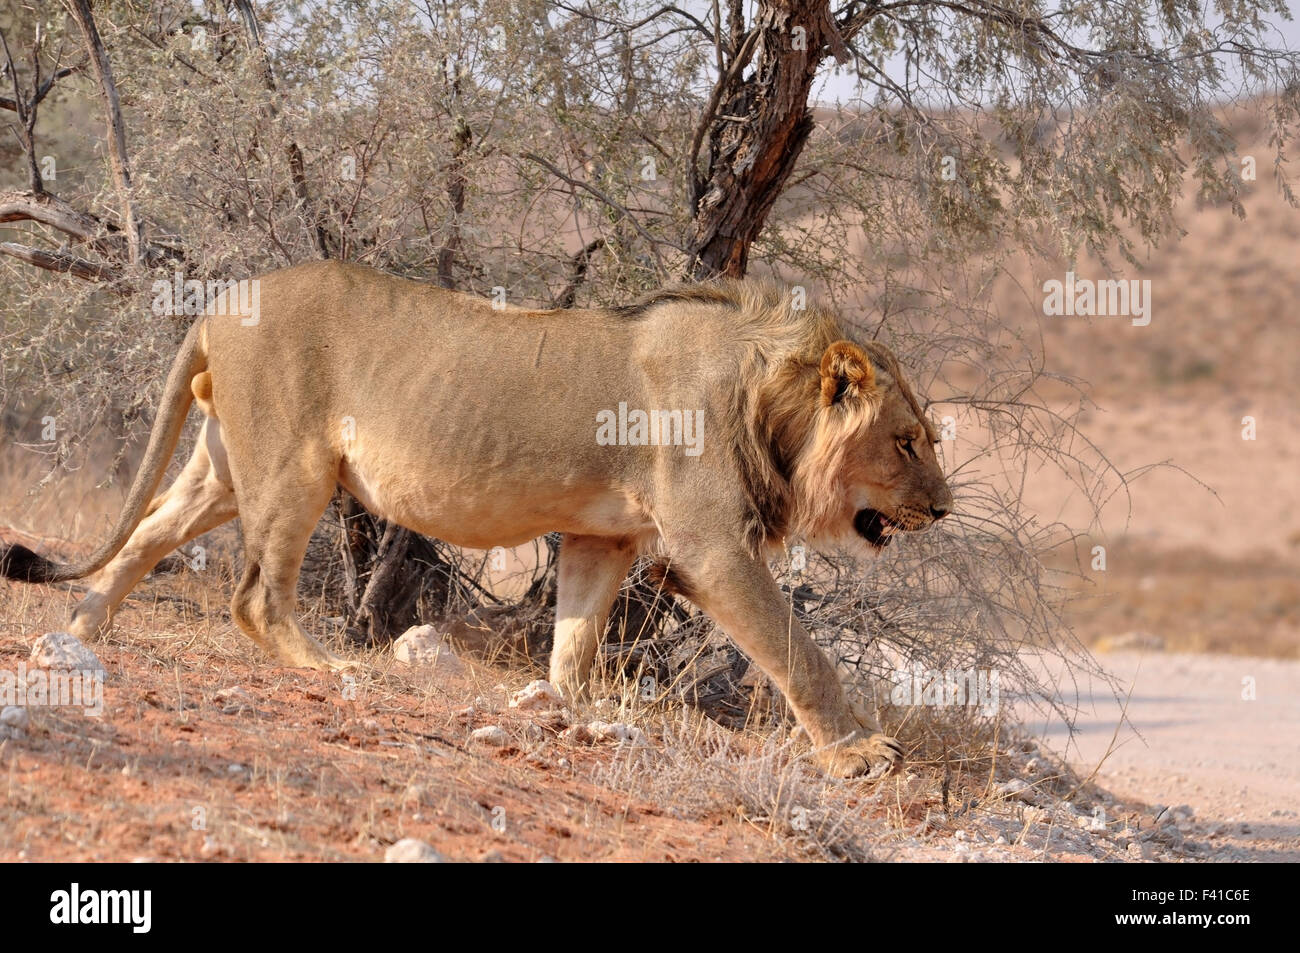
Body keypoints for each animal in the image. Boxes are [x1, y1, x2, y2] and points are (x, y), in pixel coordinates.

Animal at [1, 261, 953, 778]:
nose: (942, 508)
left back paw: (81, 627)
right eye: (906, 441)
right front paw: (859, 754)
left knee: (147, 532)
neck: (768, 394)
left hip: (226, 470)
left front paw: (564, 708)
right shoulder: (712, 545)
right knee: (254, 596)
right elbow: (799, 652)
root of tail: (216, 301)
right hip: (296, 466)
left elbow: (575, 634)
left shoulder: (604, 534)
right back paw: (333, 669)